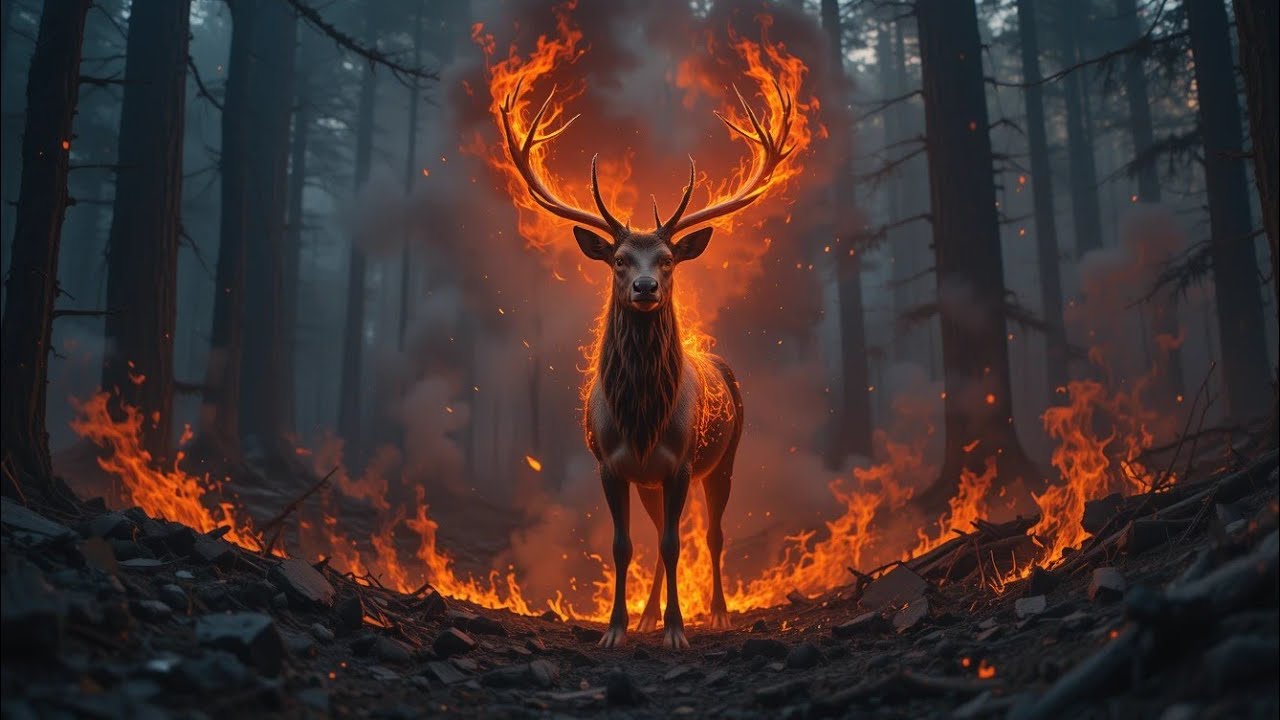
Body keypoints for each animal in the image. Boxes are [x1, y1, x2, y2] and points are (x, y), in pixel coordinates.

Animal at [500, 77, 796, 649]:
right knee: (661, 533)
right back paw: (646, 616)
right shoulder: (610, 465)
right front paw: (617, 629)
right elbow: (624, 546)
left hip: (725, 457)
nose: (644, 287)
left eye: (667, 259)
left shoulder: (680, 463)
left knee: (713, 534)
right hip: (649, 481)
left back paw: (717, 613)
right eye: (619, 260)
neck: (640, 419)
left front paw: (678, 632)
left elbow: (677, 544)